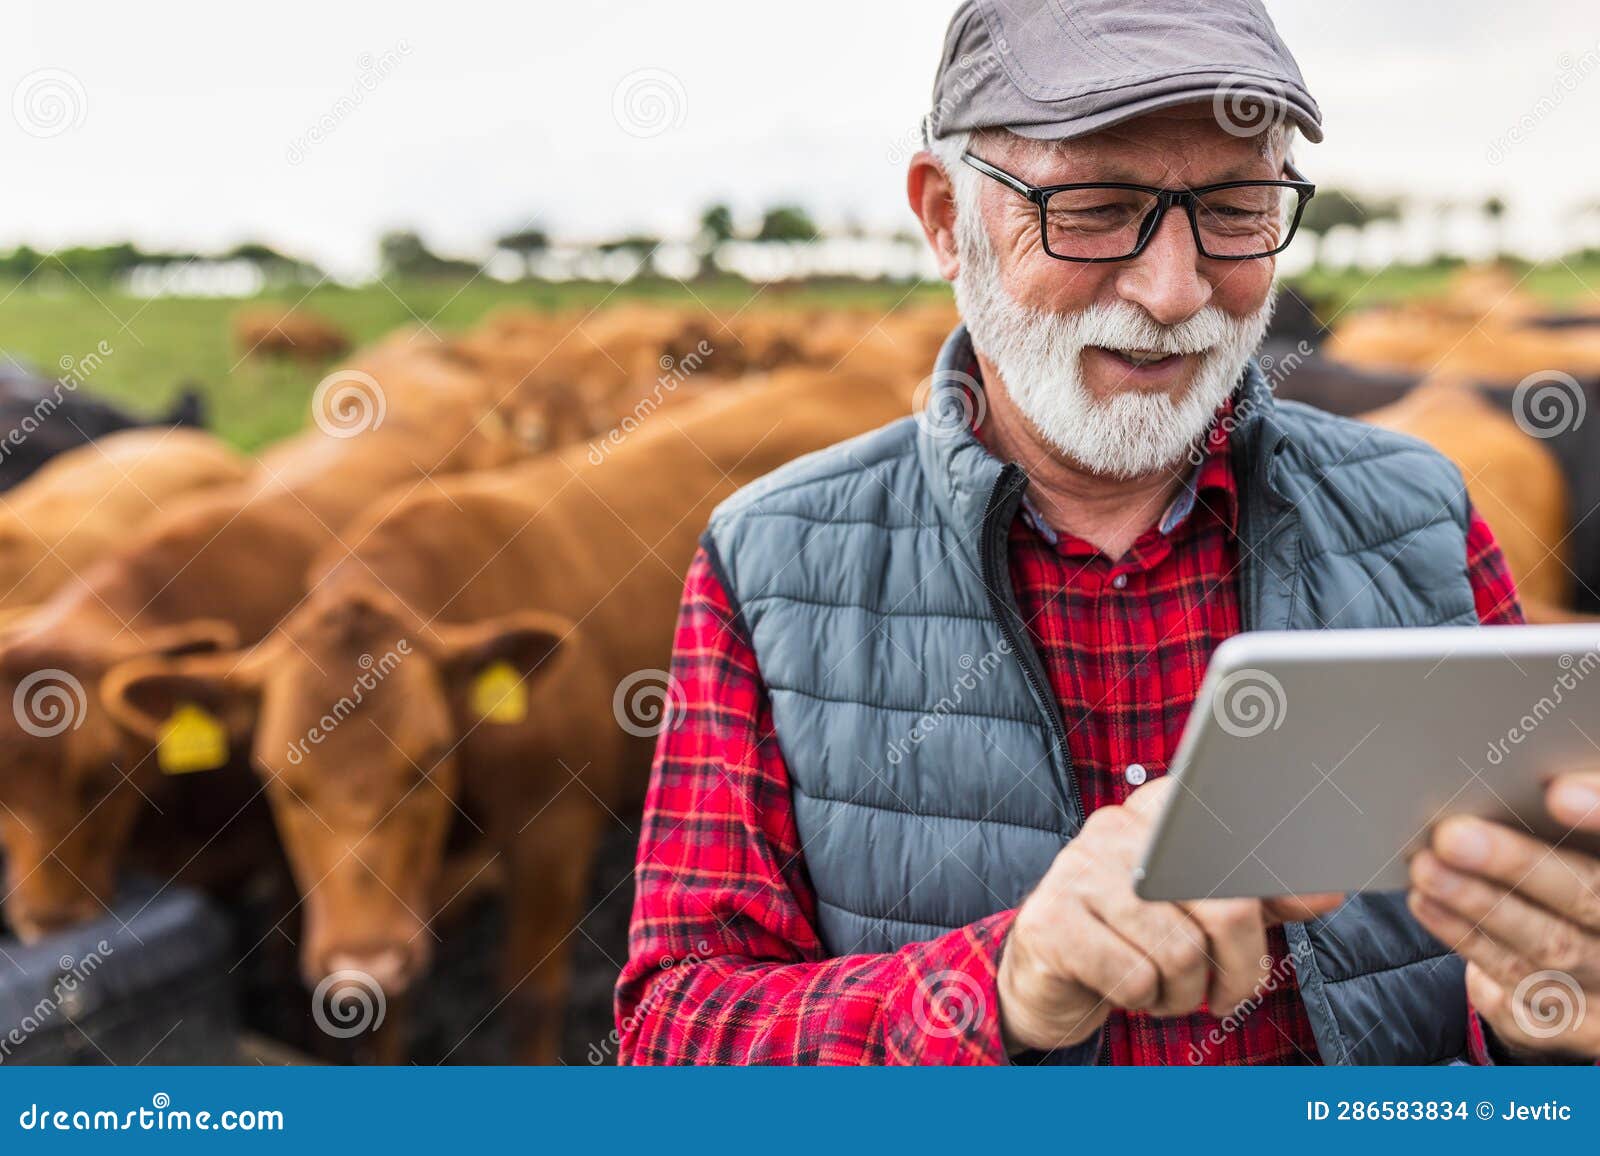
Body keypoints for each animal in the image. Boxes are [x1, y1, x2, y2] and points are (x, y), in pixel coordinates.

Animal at [102, 366, 919, 1063]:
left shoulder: (553, 829)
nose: (364, 957)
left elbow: (532, 995)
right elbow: (387, 1013)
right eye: (279, 780)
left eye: (426, 761)